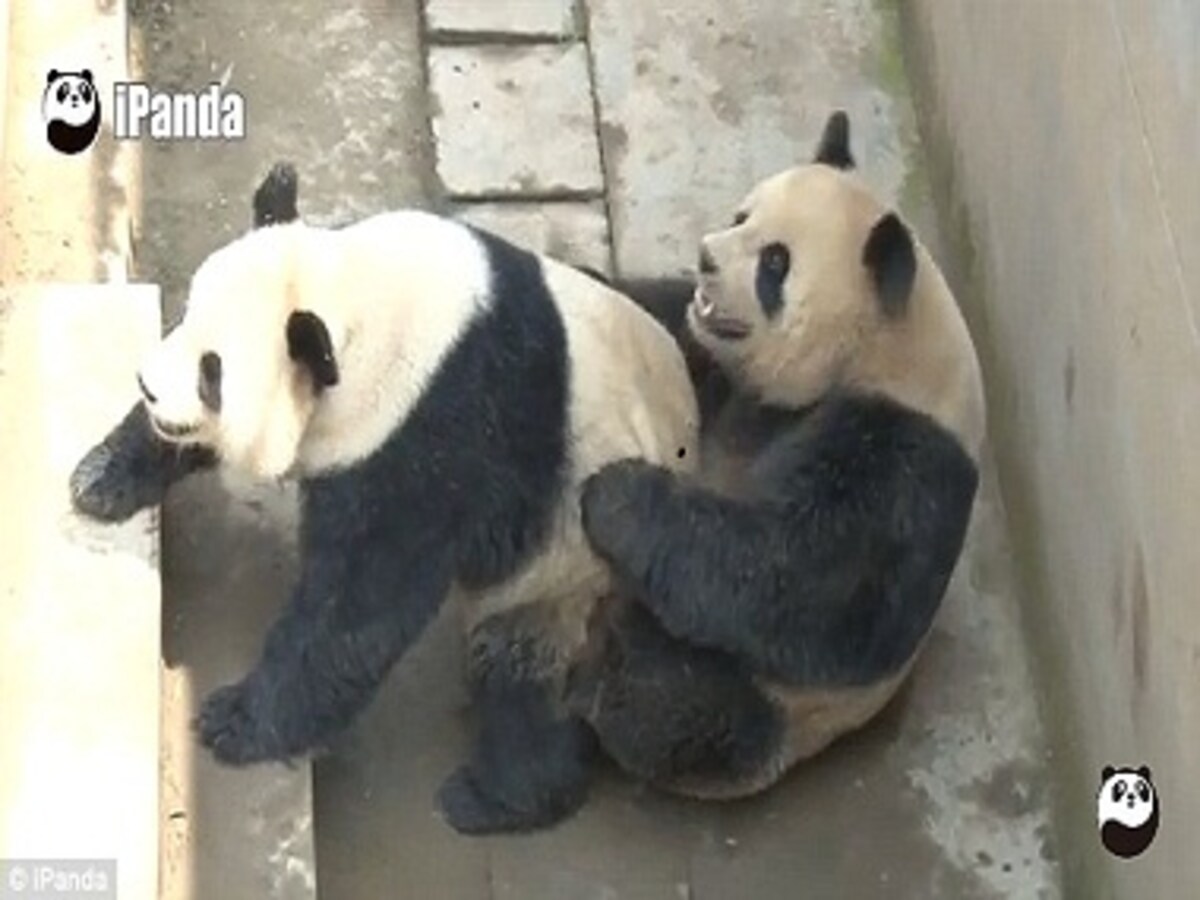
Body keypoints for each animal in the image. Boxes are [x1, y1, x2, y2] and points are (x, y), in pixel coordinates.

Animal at [68, 161, 699, 834]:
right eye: (185, 312)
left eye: (214, 372)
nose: (149, 386)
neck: (363, 306)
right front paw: (102, 476)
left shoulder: (434, 436)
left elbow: (360, 604)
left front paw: (235, 722)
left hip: (571, 556)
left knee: (518, 673)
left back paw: (498, 796)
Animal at [566, 110, 987, 799]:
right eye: (742, 216)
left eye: (774, 265)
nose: (706, 256)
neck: (887, 346)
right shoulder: (717, 366)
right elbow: (666, 326)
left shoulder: (899, 454)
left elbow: (796, 579)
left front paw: (615, 493)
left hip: (772, 711)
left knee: (688, 706)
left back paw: (608, 676)